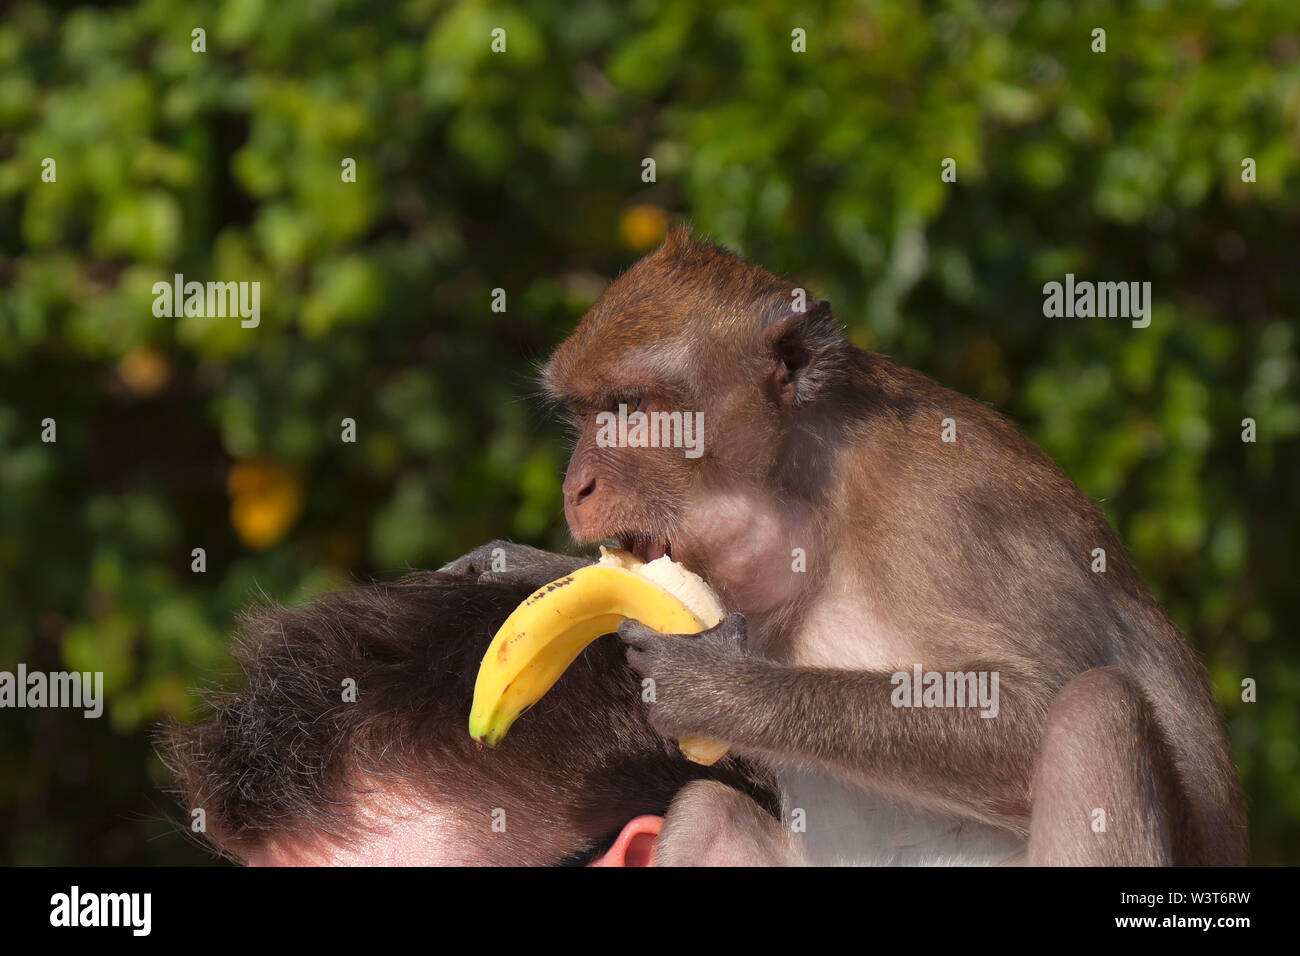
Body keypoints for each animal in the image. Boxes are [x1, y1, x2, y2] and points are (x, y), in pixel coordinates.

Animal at [531, 225, 1248, 866]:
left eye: (629, 407)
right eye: (583, 414)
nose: (574, 486)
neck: (813, 501)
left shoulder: (943, 510)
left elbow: (1034, 704)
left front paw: (717, 688)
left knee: (1094, 709)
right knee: (707, 813)